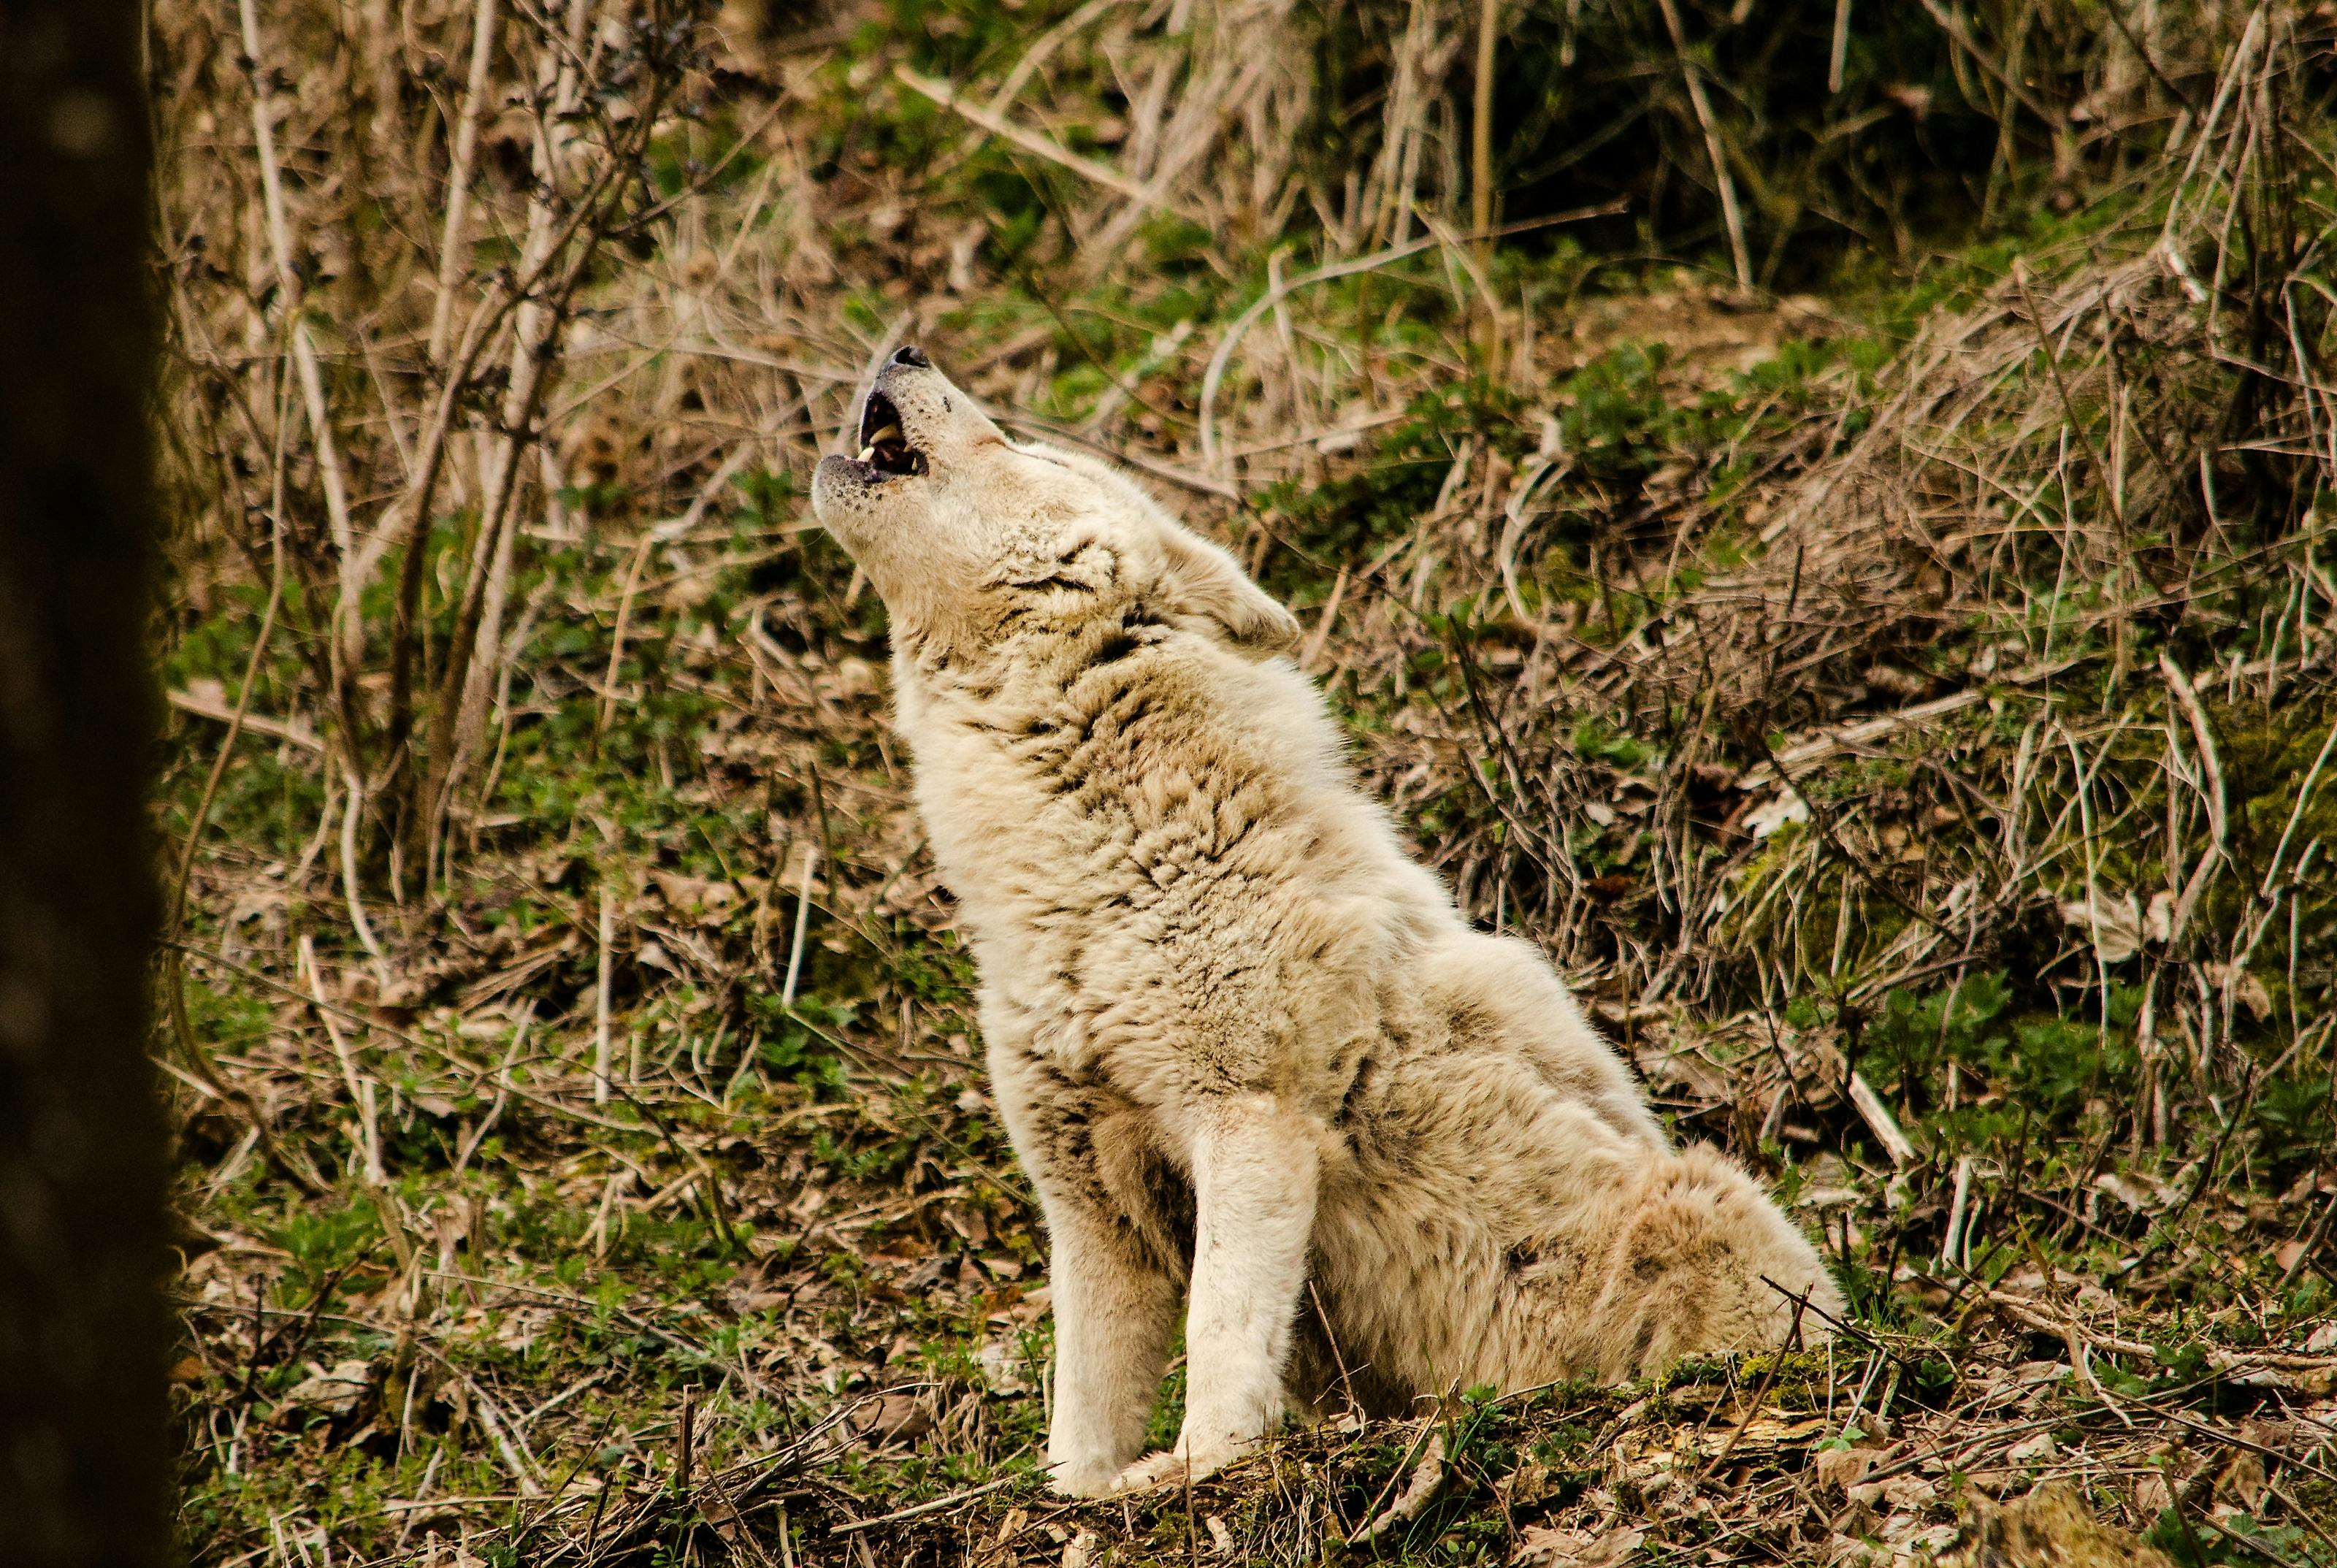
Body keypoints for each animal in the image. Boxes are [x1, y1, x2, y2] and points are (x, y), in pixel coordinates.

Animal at [811, 346, 1841, 1497]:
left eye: (1029, 450)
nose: (904, 351)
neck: (1094, 864)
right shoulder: (1090, 1201)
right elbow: (1079, 1411)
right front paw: (1080, 1494)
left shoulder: (1251, 1120)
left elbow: (1220, 1336)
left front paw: (1199, 1467)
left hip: (1699, 1200)